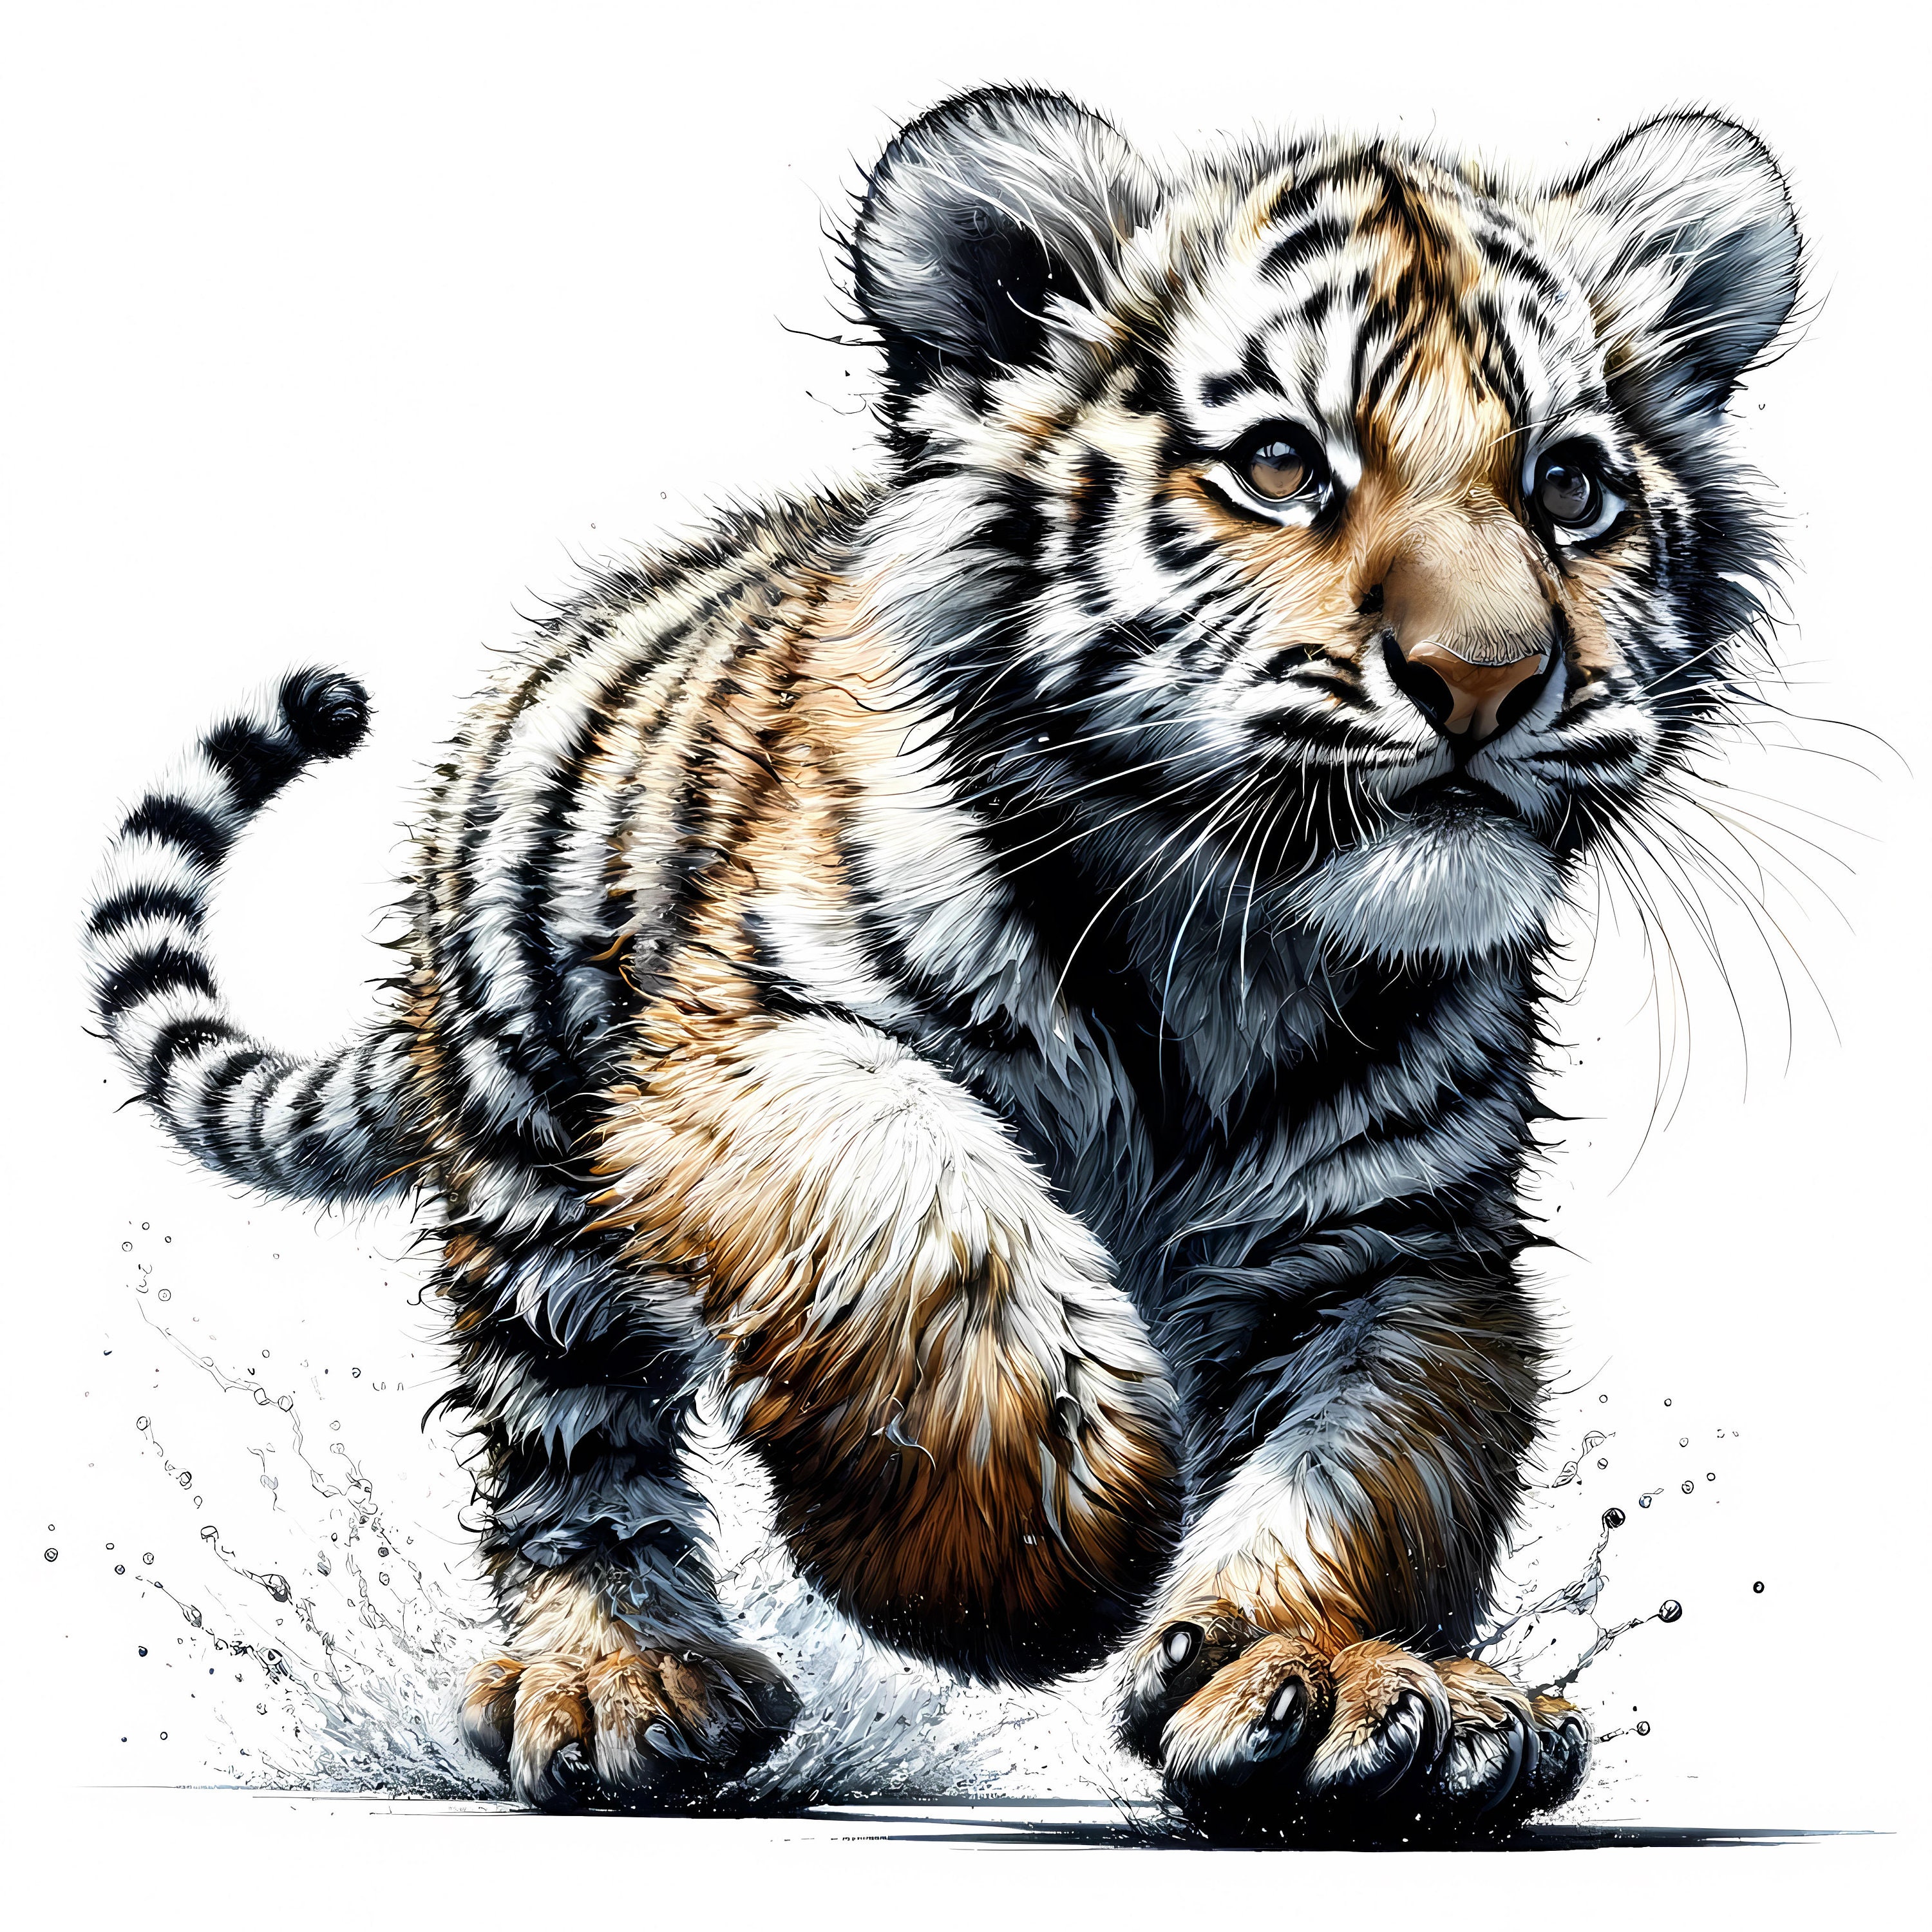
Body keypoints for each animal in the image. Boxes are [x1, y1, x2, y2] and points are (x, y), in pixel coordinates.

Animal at [83, 87, 1801, 1833]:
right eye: (1279, 464)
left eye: (1570, 488)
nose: (1489, 677)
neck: (1226, 946)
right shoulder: (745, 1049)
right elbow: (922, 1216)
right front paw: (1022, 1564)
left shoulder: (1386, 1239)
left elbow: (1376, 1460)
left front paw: (1331, 1690)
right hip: (529, 1153)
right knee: (572, 1442)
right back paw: (619, 1687)